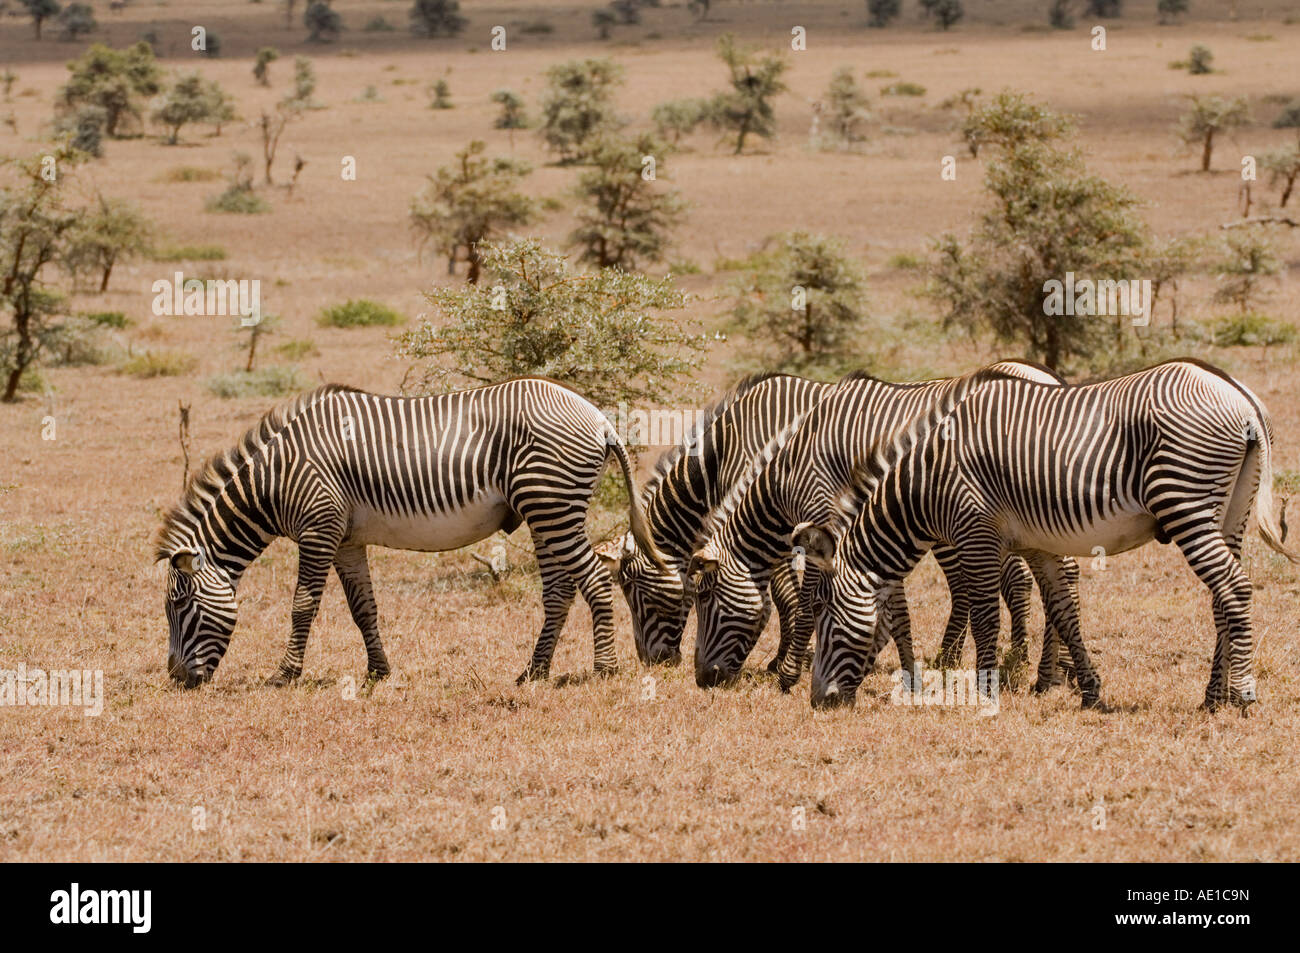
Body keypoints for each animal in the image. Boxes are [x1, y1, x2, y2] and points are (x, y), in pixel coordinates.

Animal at [154, 380, 664, 689]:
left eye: (179, 606)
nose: (177, 679)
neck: (277, 478)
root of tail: (598, 418)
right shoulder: (346, 540)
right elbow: (363, 609)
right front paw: (378, 672)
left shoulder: (318, 529)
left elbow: (302, 606)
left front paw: (285, 675)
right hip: (547, 511)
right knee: (559, 590)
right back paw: (533, 672)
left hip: (552, 504)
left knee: (593, 580)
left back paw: (603, 669)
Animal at [685, 362, 1079, 689]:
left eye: (702, 596)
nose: (701, 679)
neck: (789, 472)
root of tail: (1049, 378)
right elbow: (892, 607)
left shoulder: (821, 517)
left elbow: (806, 598)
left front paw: (789, 672)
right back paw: (1051, 671)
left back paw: (1043, 670)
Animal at [795, 358, 1296, 712]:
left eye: (821, 609)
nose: (818, 700)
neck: (930, 480)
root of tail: (1239, 396)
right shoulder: (1038, 545)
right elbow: (1063, 610)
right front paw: (1089, 691)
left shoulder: (976, 533)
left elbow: (985, 615)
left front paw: (985, 692)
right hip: (1231, 512)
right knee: (1222, 597)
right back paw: (1214, 696)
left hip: (1184, 501)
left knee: (1234, 587)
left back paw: (1243, 694)